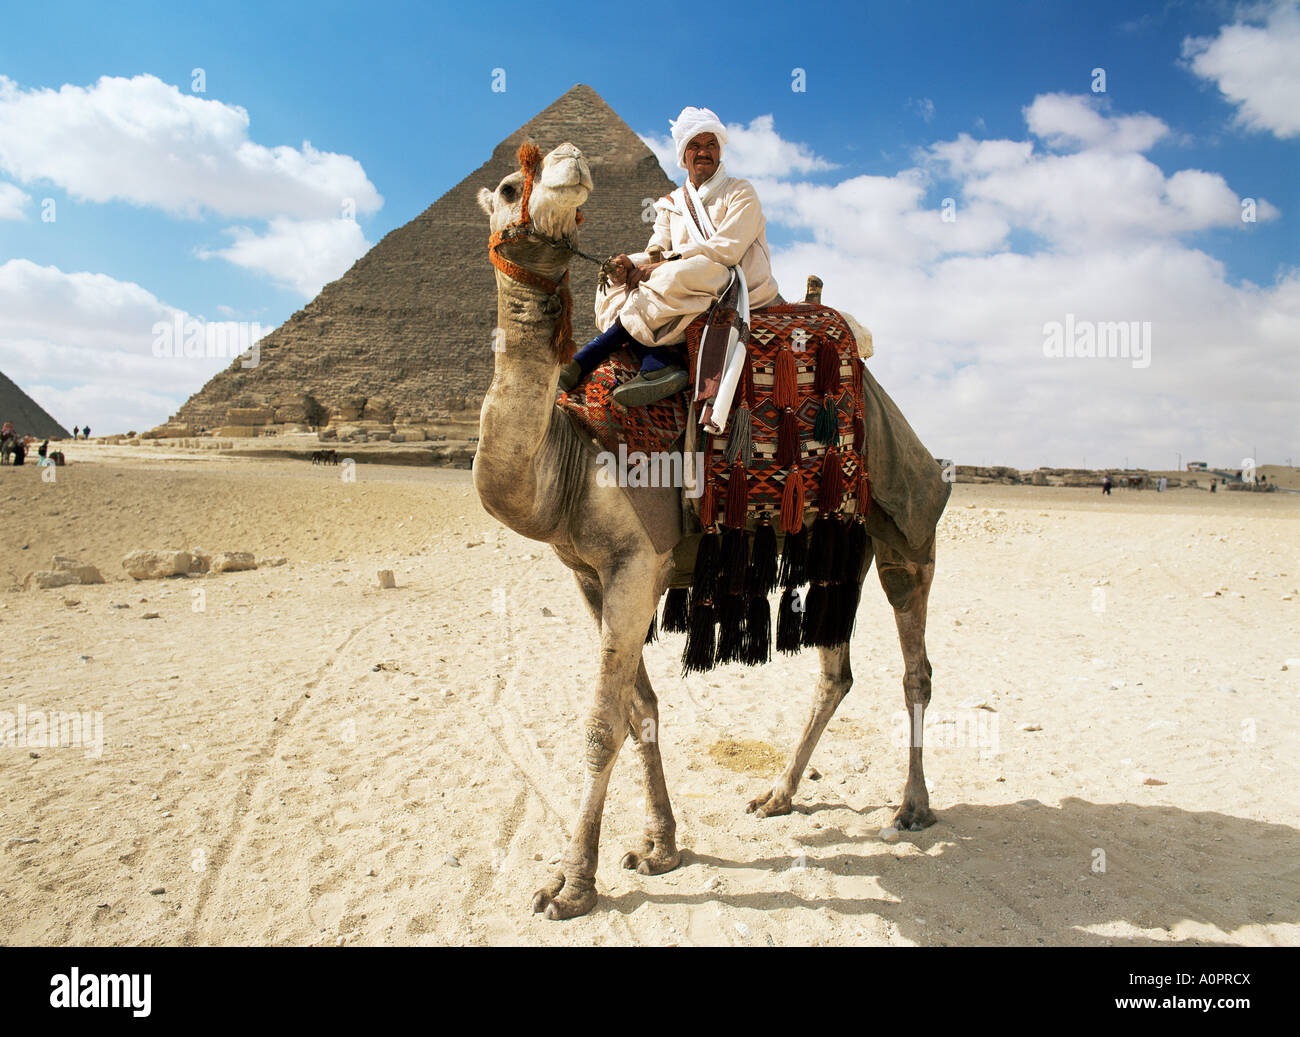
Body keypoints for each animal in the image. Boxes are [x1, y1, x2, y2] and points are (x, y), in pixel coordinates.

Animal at [475, 142, 938, 920]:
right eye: (511, 186)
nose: (570, 158)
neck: (565, 456)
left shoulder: (636, 564)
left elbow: (601, 728)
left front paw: (571, 884)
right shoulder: (590, 575)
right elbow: (642, 712)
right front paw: (659, 847)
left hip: (905, 521)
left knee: (916, 667)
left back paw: (912, 806)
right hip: (836, 544)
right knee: (836, 672)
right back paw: (777, 795)